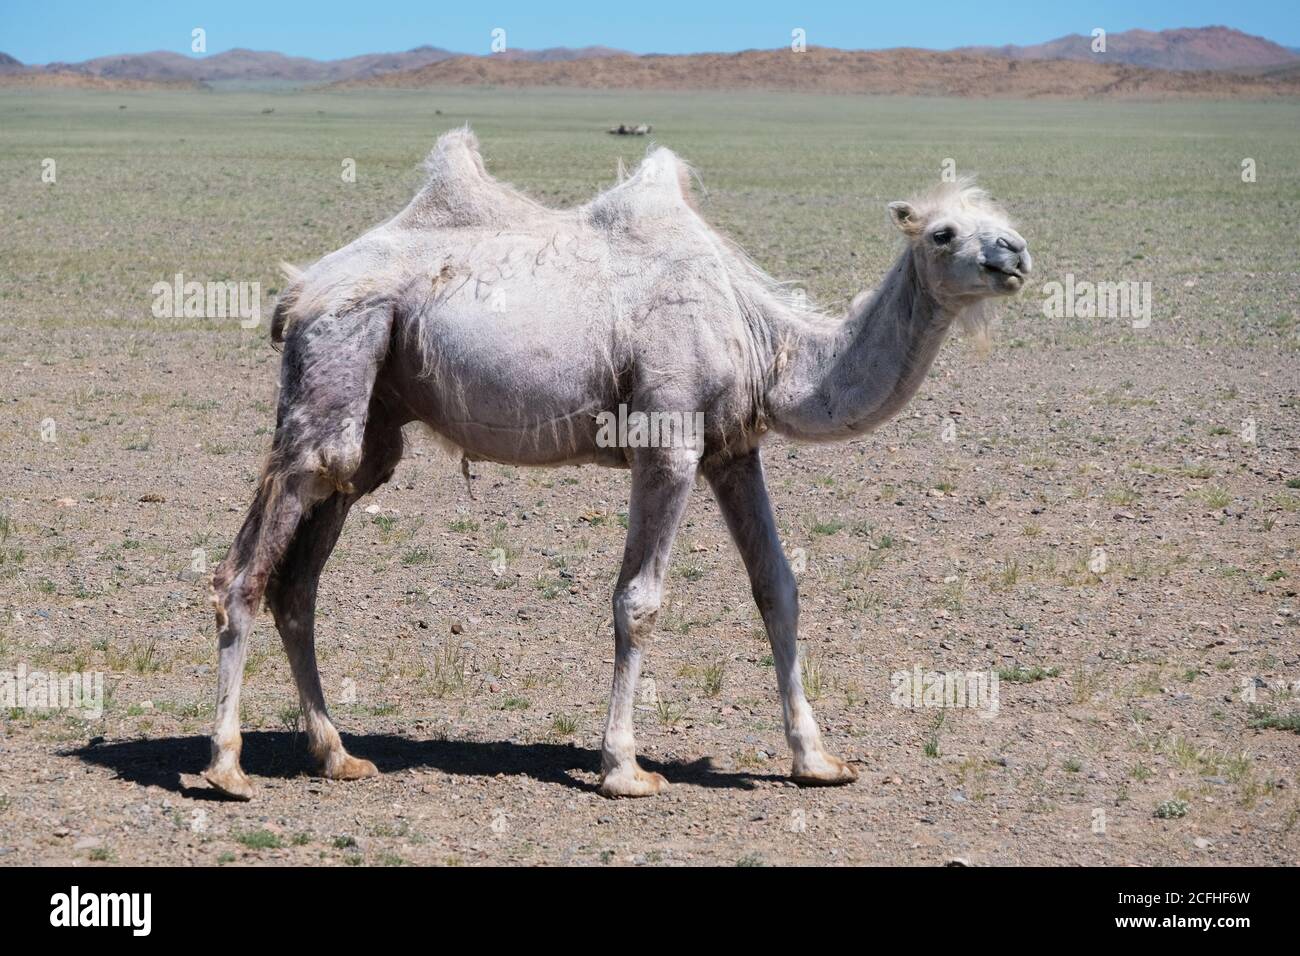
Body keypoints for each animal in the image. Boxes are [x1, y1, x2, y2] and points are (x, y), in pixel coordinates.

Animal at [204, 128, 1031, 800]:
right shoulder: (668, 440)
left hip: (376, 414)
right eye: (944, 233)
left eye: (1004, 220)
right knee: (249, 564)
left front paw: (817, 761)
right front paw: (624, 767)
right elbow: (639, 601)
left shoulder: (733, 449)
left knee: (302, 576)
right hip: (336, 355)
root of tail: (297, 290)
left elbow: (779, 588)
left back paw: (336, 755)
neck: (764, 340)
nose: (1015, 253)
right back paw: (226, 766)